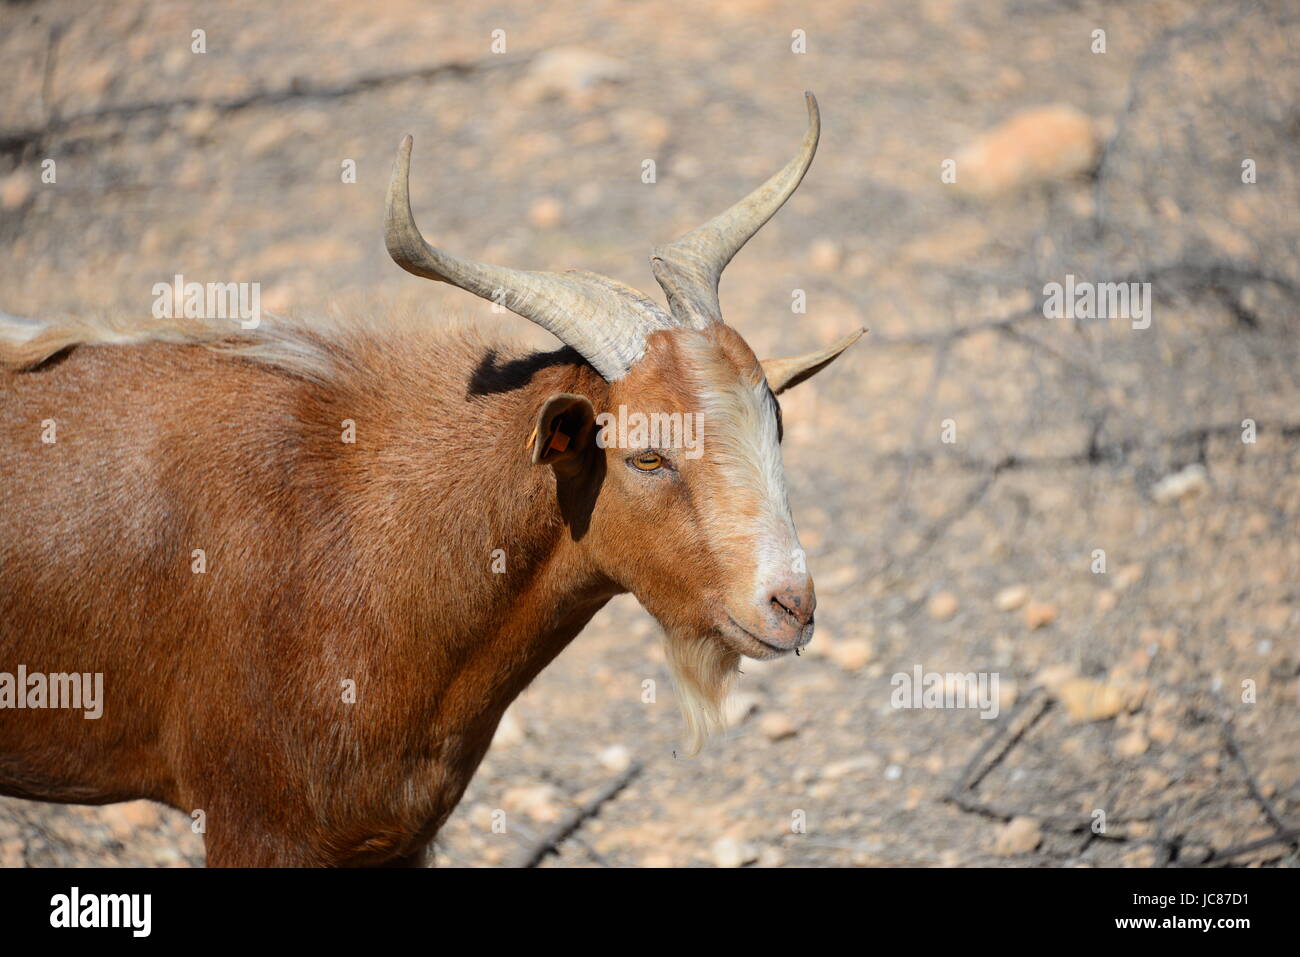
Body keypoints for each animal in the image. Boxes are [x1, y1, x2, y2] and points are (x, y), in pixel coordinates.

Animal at [0, 93, 861, 866]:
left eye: (775, 422)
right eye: (646, 454)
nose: (790, 604)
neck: (352, 524)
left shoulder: (394, 837)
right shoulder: (252, 825)